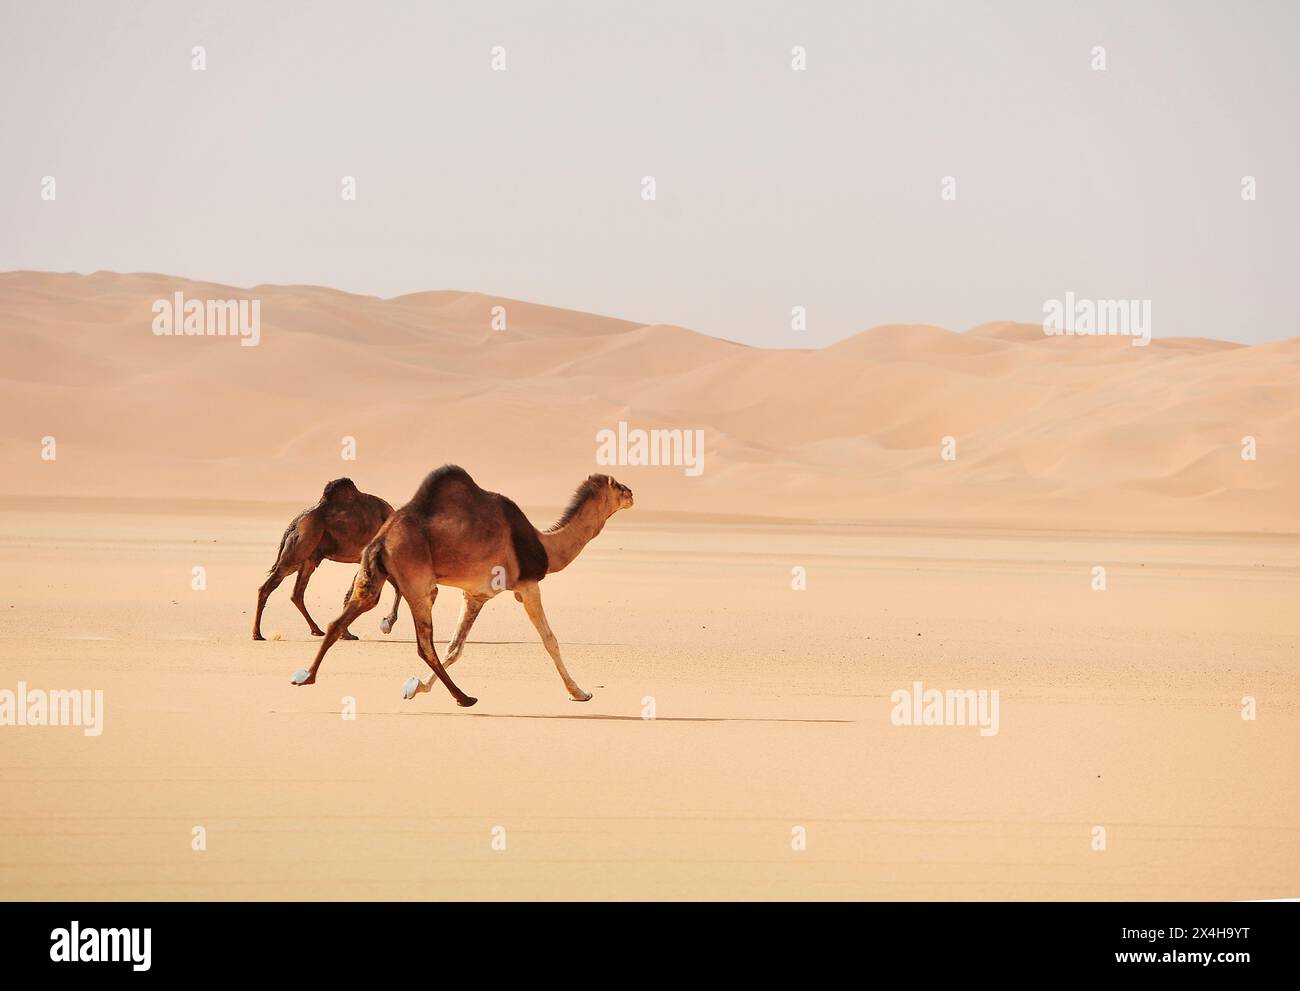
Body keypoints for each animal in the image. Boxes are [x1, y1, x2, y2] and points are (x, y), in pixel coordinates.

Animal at [253, 478, 403, 641]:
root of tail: (295, 523)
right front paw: (386, 624)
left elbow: (352, 593)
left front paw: (346, 634)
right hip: (297, 552)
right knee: (266, 587)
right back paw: (257, 634)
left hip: (309, 560)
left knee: (297, 593)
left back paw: (317, 630)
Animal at [289, 466, 634, 706]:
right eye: (618, 486)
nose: (632, 493)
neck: (546, 545)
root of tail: (381, 540)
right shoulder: (527, 584)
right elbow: (550, 640)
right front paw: (580, 693)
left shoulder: (476, 594)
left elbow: (455, 646)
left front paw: (418, 687)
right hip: (418, 582)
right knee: (424, 644)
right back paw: (464, 697)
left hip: (372, 576)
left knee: (339, 621)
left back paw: (306, 677)